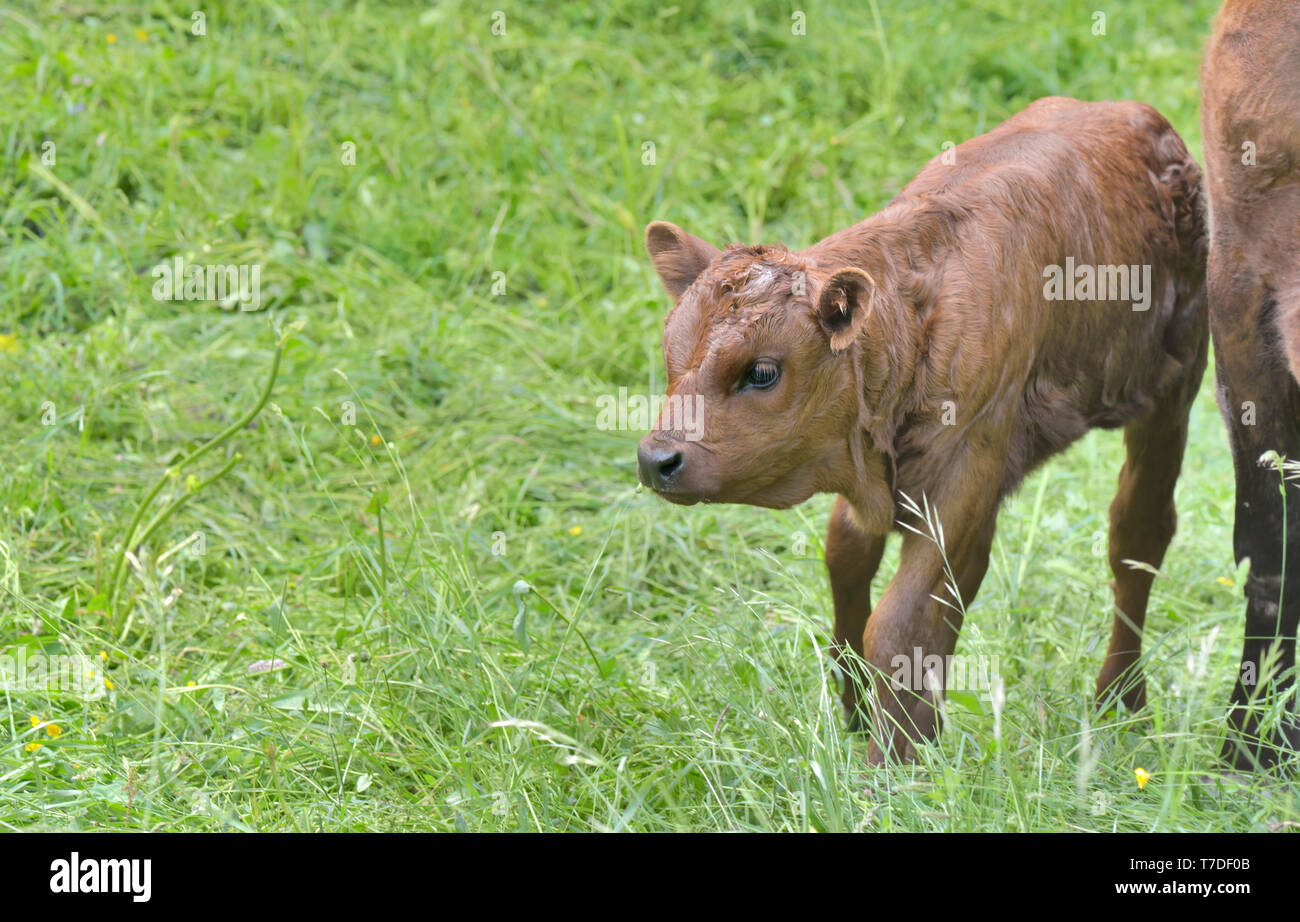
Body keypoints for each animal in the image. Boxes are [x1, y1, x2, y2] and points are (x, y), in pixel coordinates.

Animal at [637, 97, 1208, 764]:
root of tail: (1135, 117)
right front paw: (873, 719)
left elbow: (899, 622)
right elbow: (853, 568)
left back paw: (1121, 699)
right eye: (671, 353)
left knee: (1137, 536)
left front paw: (891, 764)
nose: (657, 459)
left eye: (761, 371)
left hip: (1172, 391)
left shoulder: (963, 469)